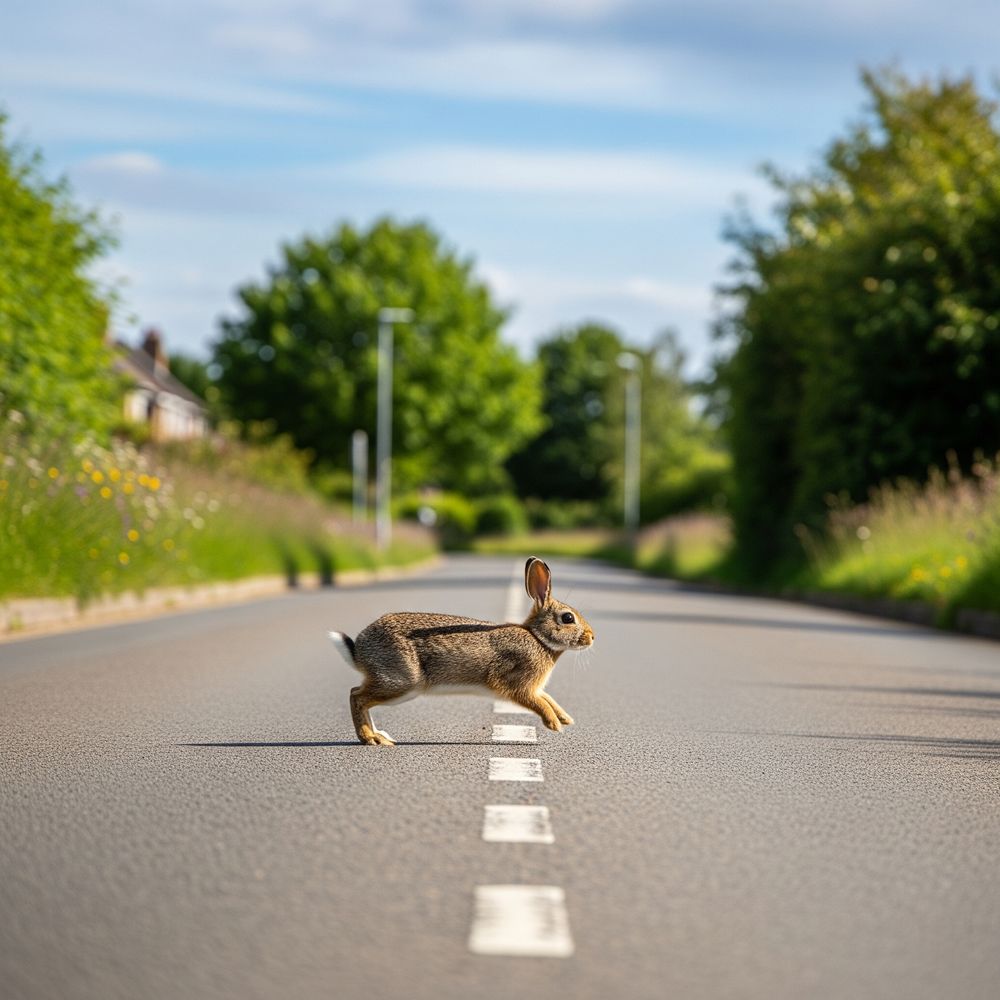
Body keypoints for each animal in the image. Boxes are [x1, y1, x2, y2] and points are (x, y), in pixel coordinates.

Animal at [328, 557, 594, 746]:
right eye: (568, 618)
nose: (592, 637)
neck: (538, 638)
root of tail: (360, 650)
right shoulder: (517, 683)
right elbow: (537, 702)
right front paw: (553, 724)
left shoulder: (535, 687)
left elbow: (548, 698)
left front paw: (565, 718)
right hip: (402, 681)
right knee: (356, 696)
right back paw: (371, 739)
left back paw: (380, 735)